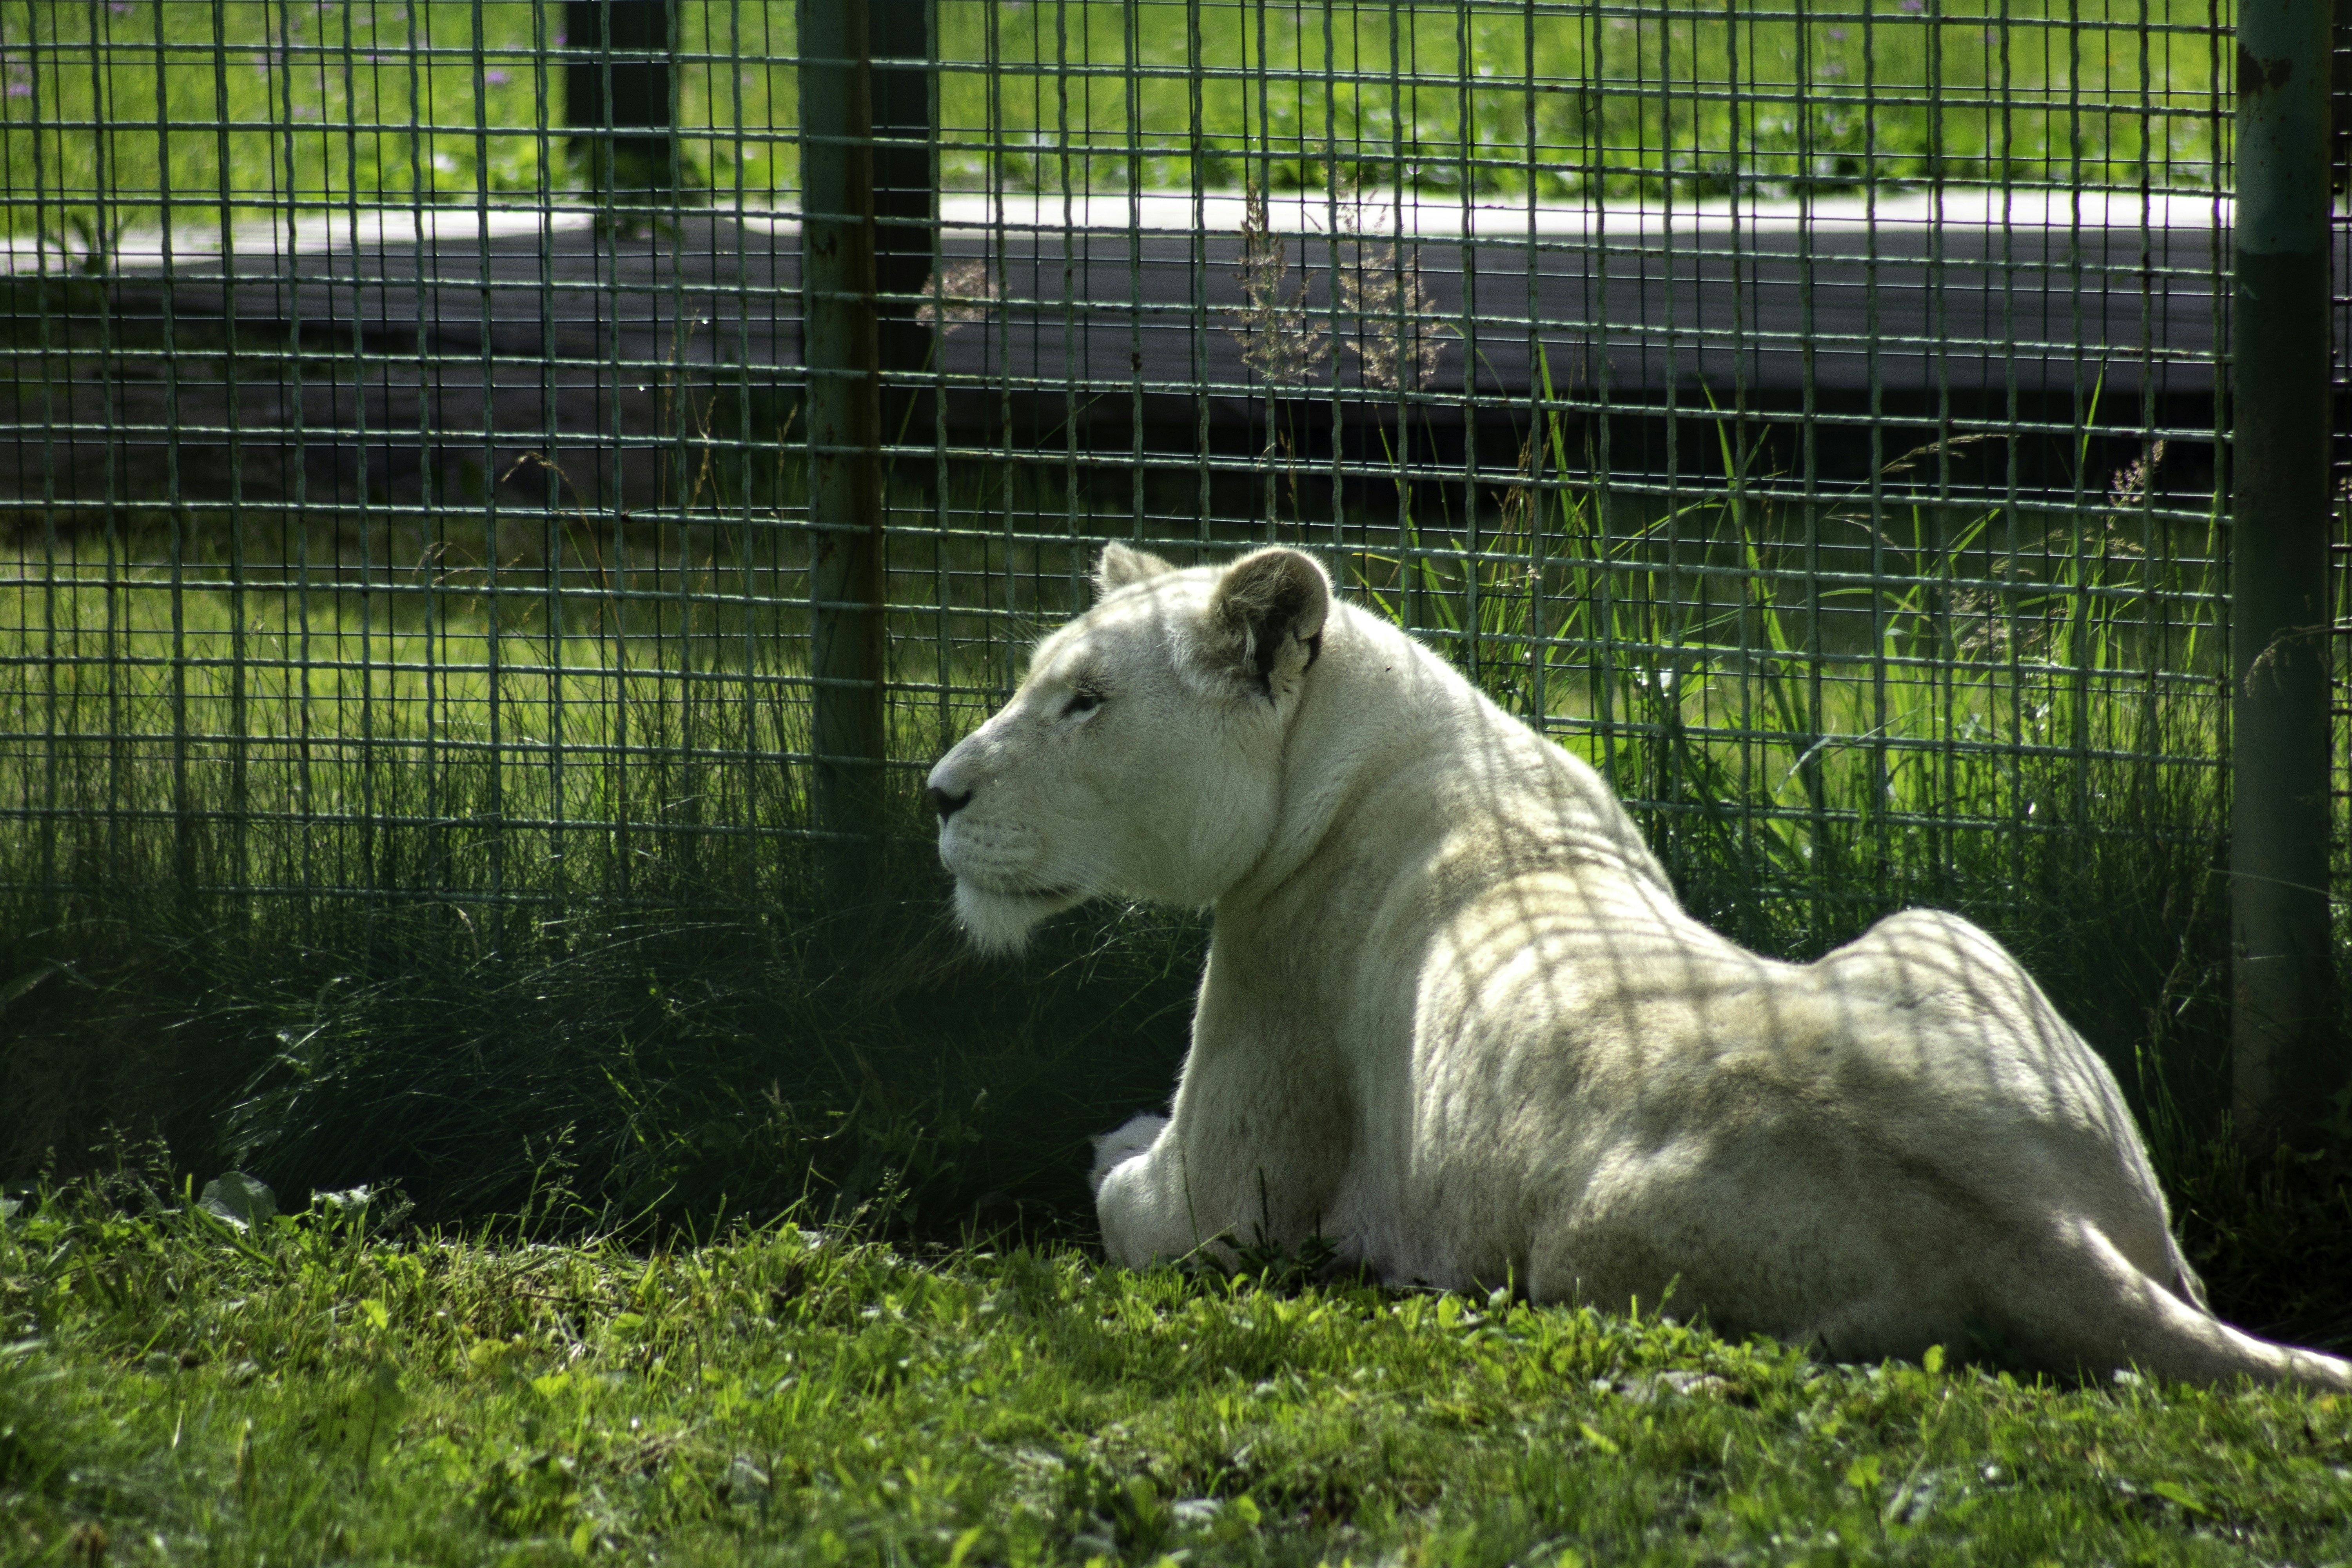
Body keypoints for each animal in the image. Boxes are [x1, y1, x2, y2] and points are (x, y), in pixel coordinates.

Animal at [925, 542, 2351, 1388]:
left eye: (1086, 700)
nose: (936, 792)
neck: (1370, 727)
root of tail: (2043, 1227)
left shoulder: (1230, 1199)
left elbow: (1132, 1187)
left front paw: (1110, 1132)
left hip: (1581, 1262)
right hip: (1949, 931)